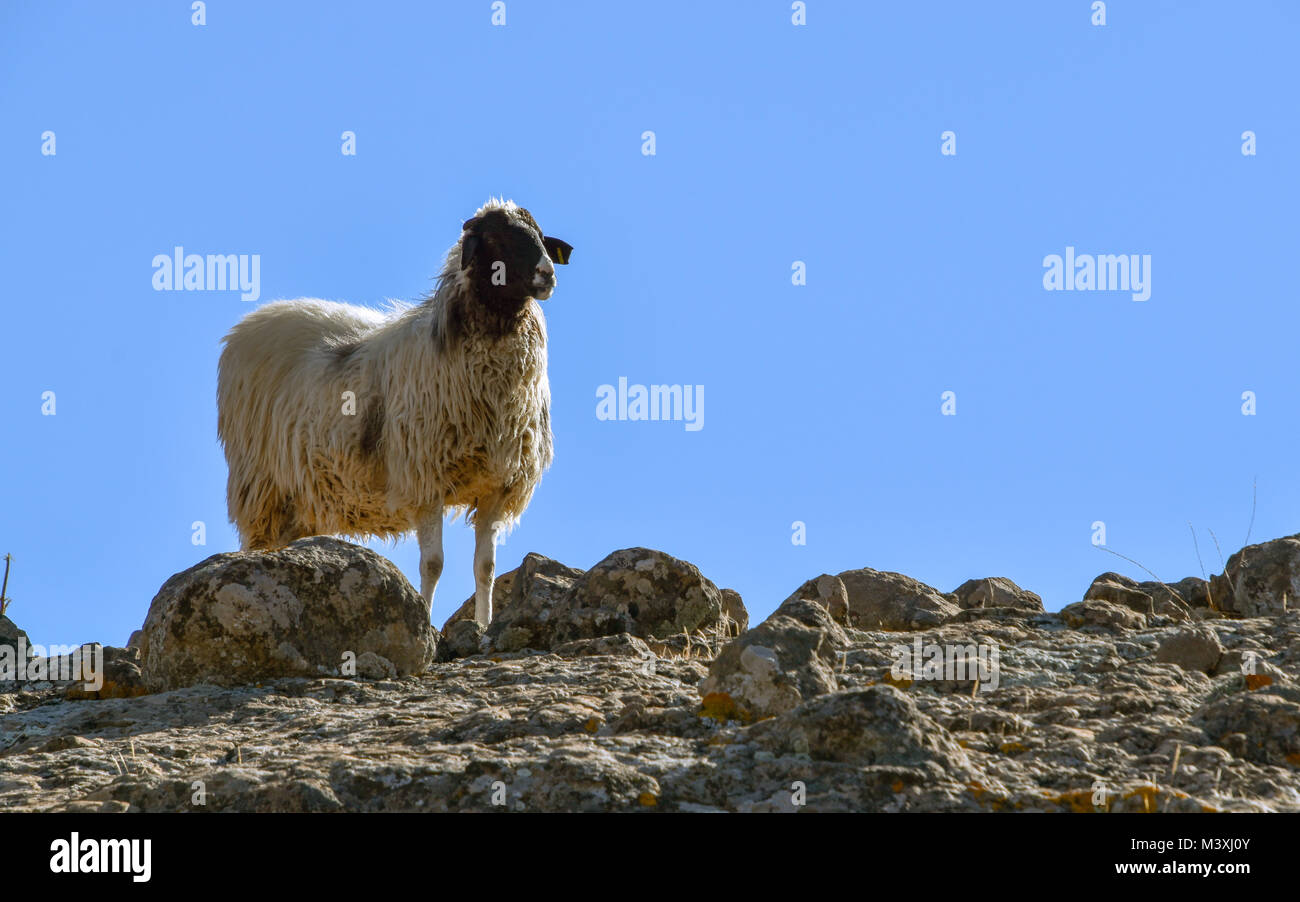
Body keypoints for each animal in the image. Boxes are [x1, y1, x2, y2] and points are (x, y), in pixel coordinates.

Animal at [216, 198, 573, 625]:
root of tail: (249, 323)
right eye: (495, 238)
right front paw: (428, 621)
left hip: (298, 498)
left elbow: (484, 566)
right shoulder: (425, 477)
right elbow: (433, 564)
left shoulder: (496, 485)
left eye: (541, 237)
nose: (547, 275)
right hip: (261, 486)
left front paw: (484, 625)